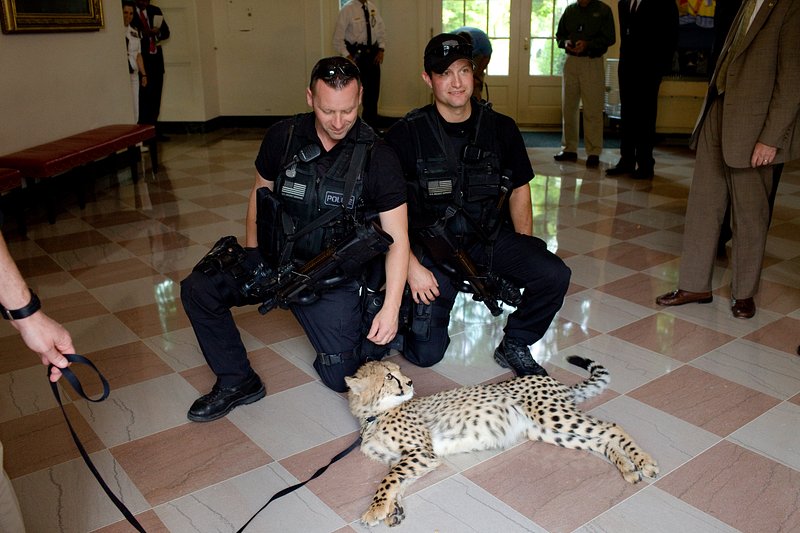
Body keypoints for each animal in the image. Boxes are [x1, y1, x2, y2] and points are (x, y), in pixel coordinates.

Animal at [345, 356, 659, 527]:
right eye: (389, 376)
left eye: (399, 372)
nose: (409, 383)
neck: (372, 416)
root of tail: (550, 381)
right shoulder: (413, 458)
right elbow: (398, 481)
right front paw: (392, 510)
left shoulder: (422, 452)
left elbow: (389, 478)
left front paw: (374, 509)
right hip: (550, 431)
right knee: (600, 440)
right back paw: (628, 469)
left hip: (553, 416)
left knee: (610, 427)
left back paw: (644, 462)